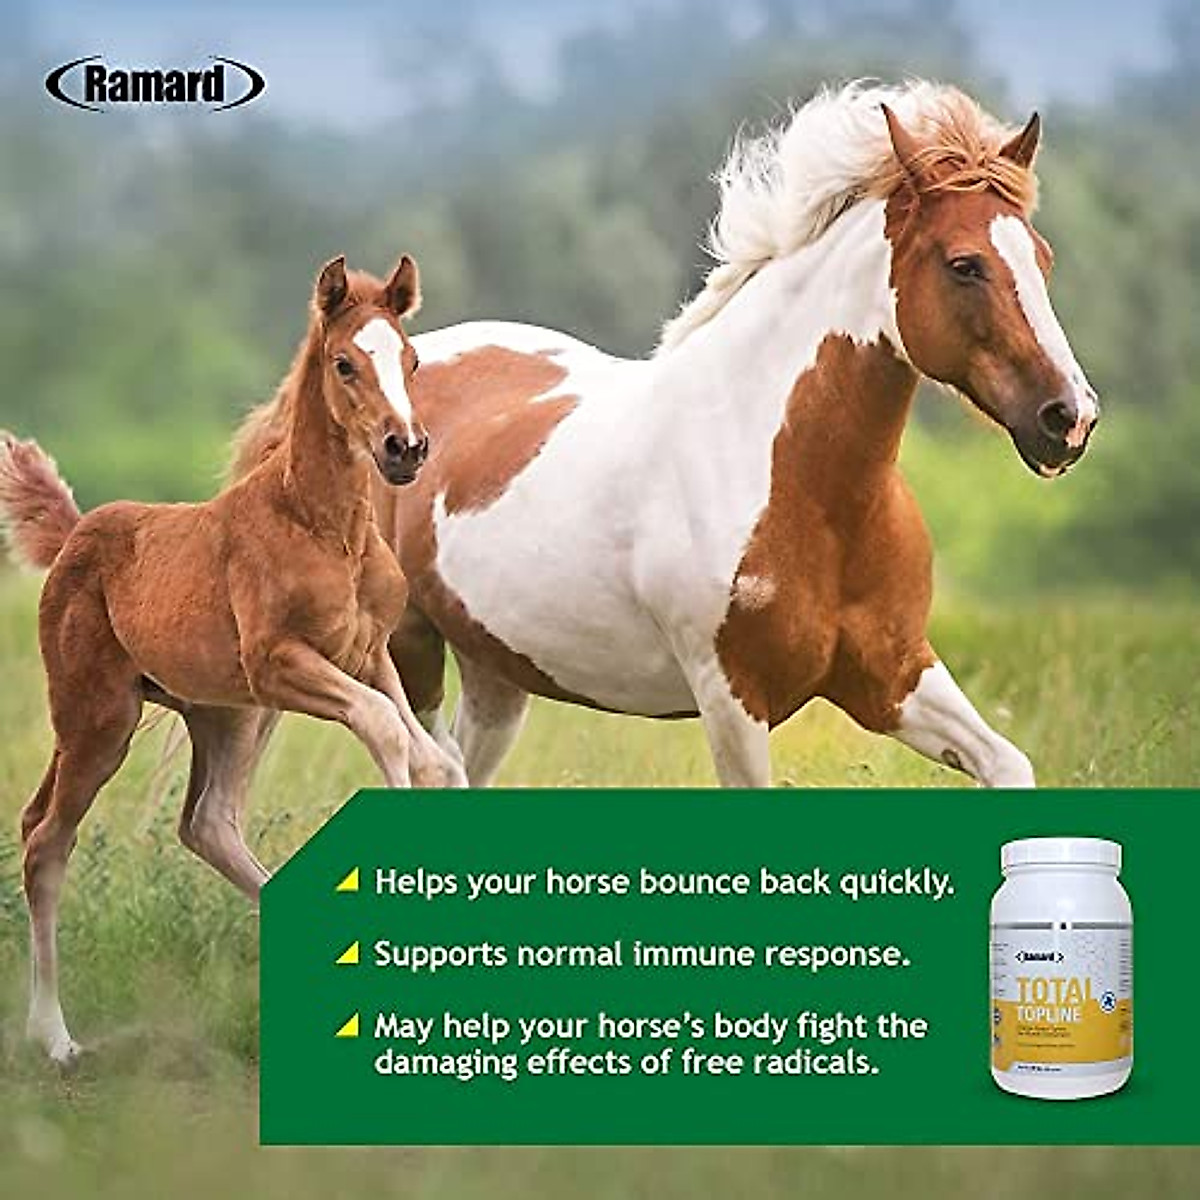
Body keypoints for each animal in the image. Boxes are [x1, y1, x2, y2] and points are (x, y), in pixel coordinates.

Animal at [0, 254, 465, 1065]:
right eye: (345, 363)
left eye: (411, 360)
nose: (405, 449)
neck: (324, 527)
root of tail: (73, 538)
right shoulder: (279, 661)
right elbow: (384, 728)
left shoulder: (366, 654)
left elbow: (432, 756)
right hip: (100, 720)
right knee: (46, 843)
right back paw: (54, 1037)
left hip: (226, 715)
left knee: (205, 824)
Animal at [237, 81, 1099, 791]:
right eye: (964, 264)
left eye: (1044, 258)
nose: (1071, 418)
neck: (805, 489)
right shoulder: (733, 701)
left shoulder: (893, 678)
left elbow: (1008, 765)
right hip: (408, 653)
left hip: (496, 674)